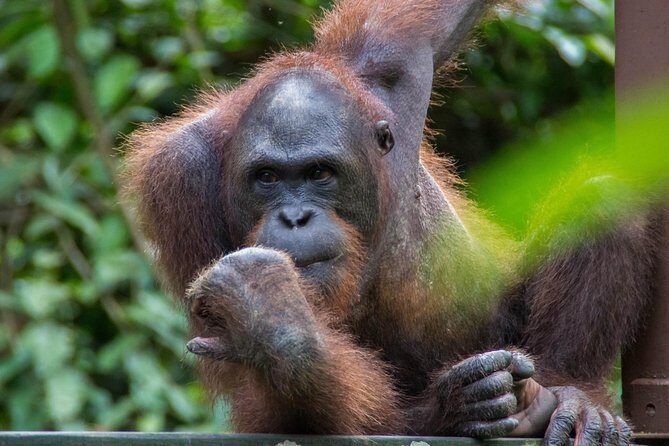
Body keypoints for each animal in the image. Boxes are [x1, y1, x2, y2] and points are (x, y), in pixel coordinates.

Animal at [123, 0, 658, 444]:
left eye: (319, 173)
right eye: (267, 178)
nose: (295, 216)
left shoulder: (392, 57)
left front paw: (268, 314)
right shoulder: (178, 183)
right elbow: (270, 407)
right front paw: (272, 321)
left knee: (602, 198)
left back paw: (571, 395)